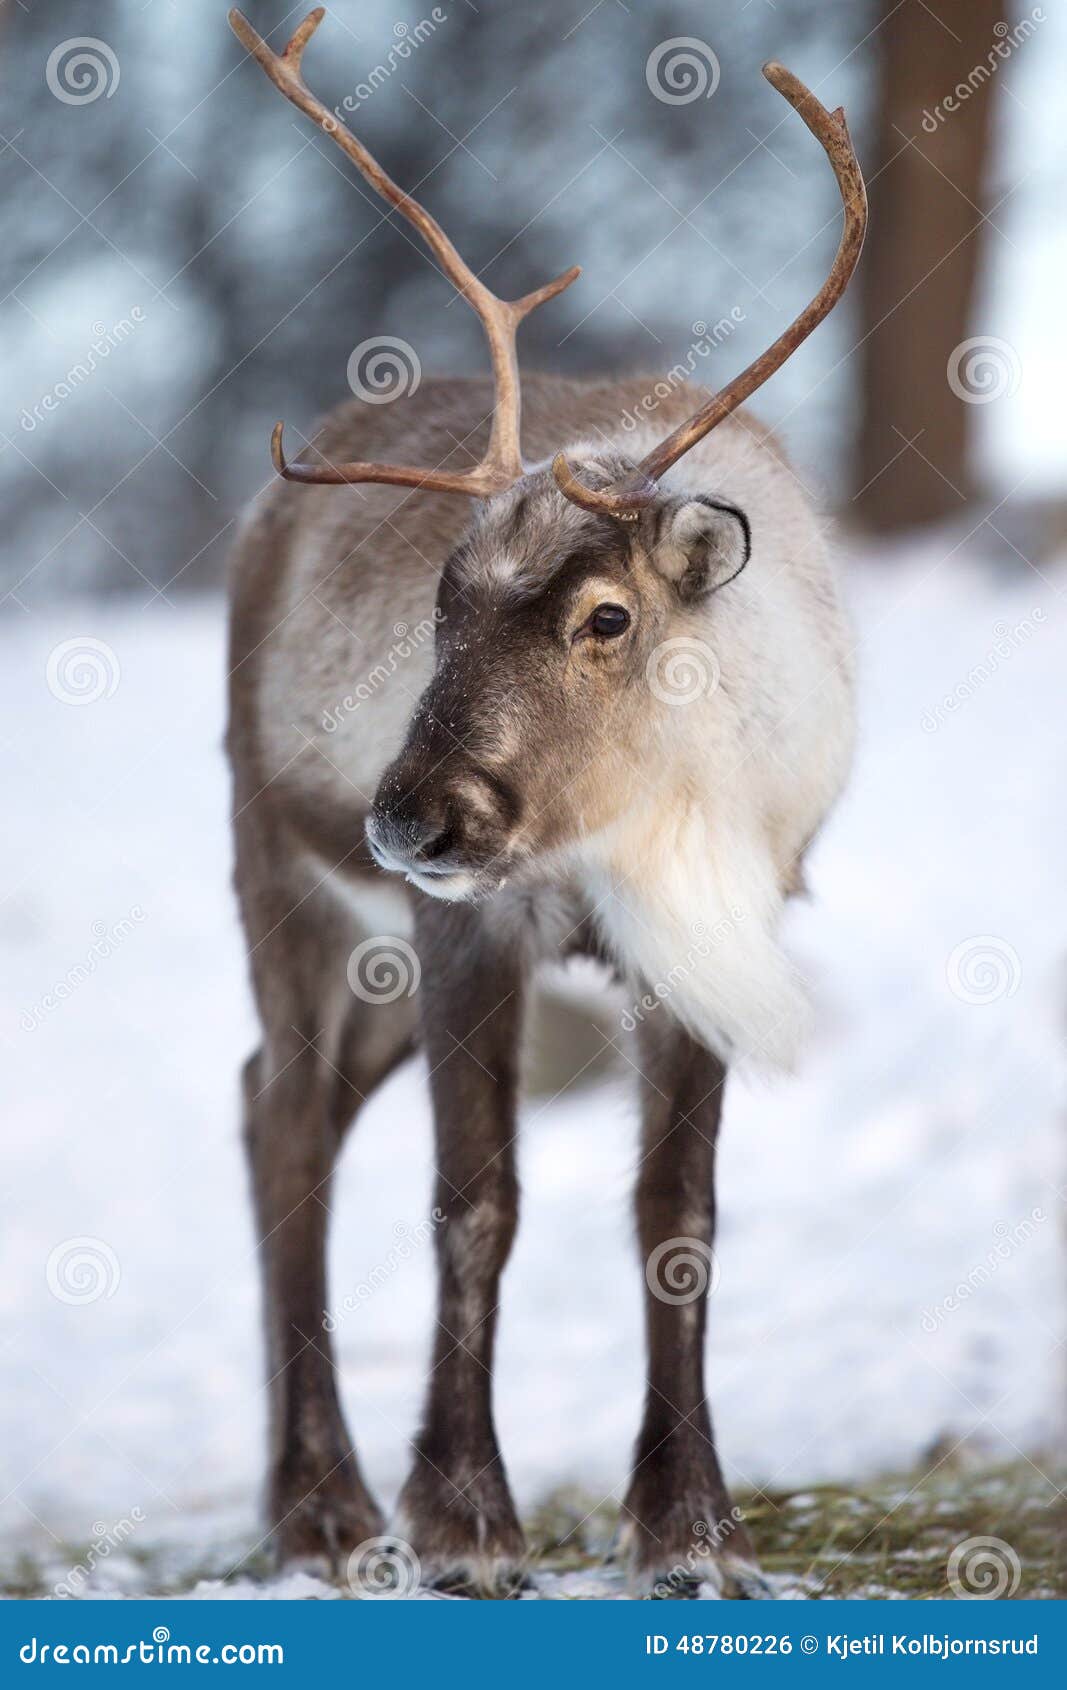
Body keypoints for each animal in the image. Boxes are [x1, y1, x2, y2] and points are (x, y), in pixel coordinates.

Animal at [225, 6, 866, 1598]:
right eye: (441, 605)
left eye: (602, 616)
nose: (407, 817)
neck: (635, 826)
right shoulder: (473, 921)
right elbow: (476, 1202)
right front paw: (460, 1515)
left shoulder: (706, 933)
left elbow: (675, 1216)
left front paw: (691, 1528)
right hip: (283, 871)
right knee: (283, 1117)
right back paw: (322, 1505)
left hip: (376, 952)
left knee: (278, 1104)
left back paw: (303, 1486)